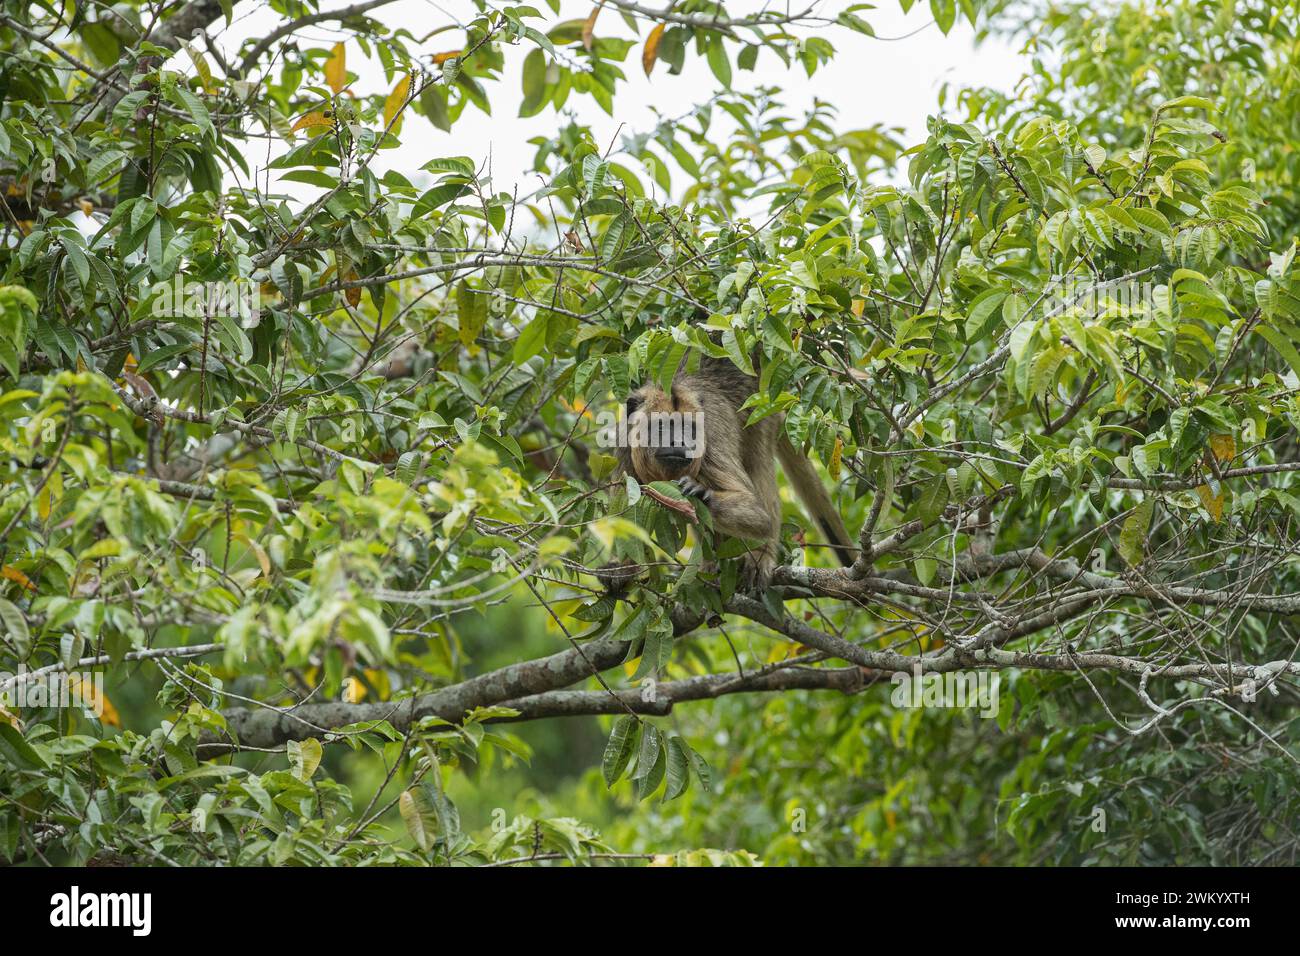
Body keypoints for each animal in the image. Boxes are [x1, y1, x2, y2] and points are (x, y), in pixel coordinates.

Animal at [615, 356, 855, 588]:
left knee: (759, 466)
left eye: (688, 428)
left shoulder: (711, 438)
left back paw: (760, 557)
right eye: (662, 426)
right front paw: (622, 570)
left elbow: (759, 515)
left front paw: (702, 495)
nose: (679, 442)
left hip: (764, 406)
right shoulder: (624, 443)